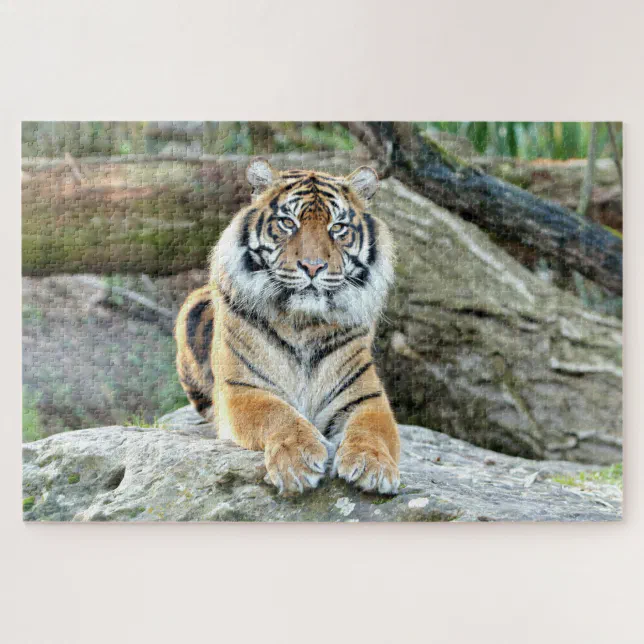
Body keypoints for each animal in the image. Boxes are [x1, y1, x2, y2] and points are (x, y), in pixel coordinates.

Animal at [174, 158, 400, 495]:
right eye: (288, 223)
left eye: (337, 228)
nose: (313, 266)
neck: (304, 322)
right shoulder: (243, 388)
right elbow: (278, 415)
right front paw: (298, 460)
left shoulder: (366, 396)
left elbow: (372, 430)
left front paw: (373, 465)